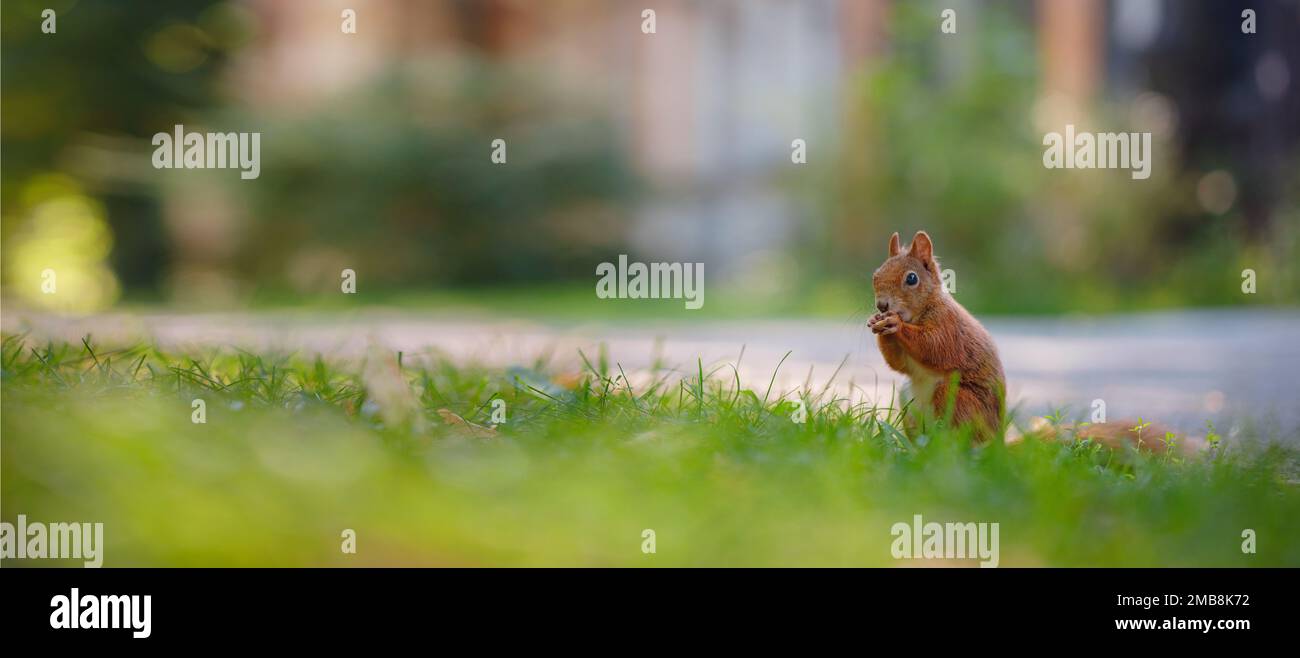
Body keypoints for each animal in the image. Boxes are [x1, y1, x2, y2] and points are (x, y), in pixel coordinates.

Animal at [868, 230, 1198, 455]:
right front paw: (878, 325)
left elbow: (934, 347)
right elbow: (899, 363)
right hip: (909, 403)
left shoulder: (949, 328)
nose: (882, 305)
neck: (922, 310)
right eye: (875, 275)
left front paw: (895, 325)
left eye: (912, 279)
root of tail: (996, 445)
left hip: (957, 399)